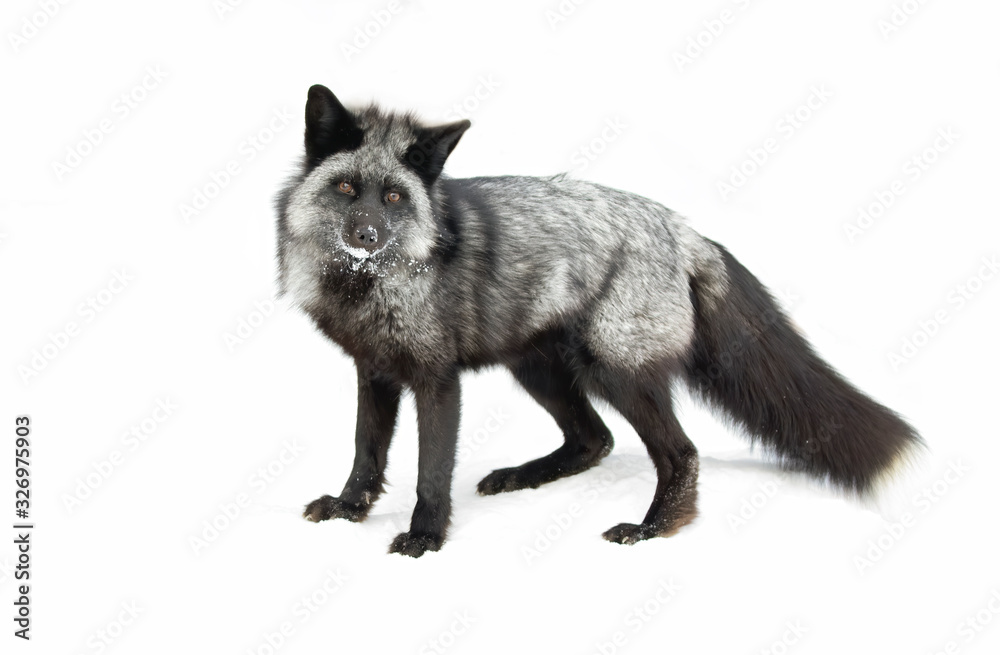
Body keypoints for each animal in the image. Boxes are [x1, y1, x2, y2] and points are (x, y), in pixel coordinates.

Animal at [275, 84, 923, 557]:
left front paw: (425, 537)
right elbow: (366, 451)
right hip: (539, 368)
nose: (366, 237)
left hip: (617, 369)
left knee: (679, 453)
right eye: (346, 187)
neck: (367, 285)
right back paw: (524, 476)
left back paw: (653, 529)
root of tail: (687, 231)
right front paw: (349, 510)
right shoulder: (374, 370)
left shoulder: (437, 379)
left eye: (393, 198)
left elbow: (430, 470)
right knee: (595, 439)